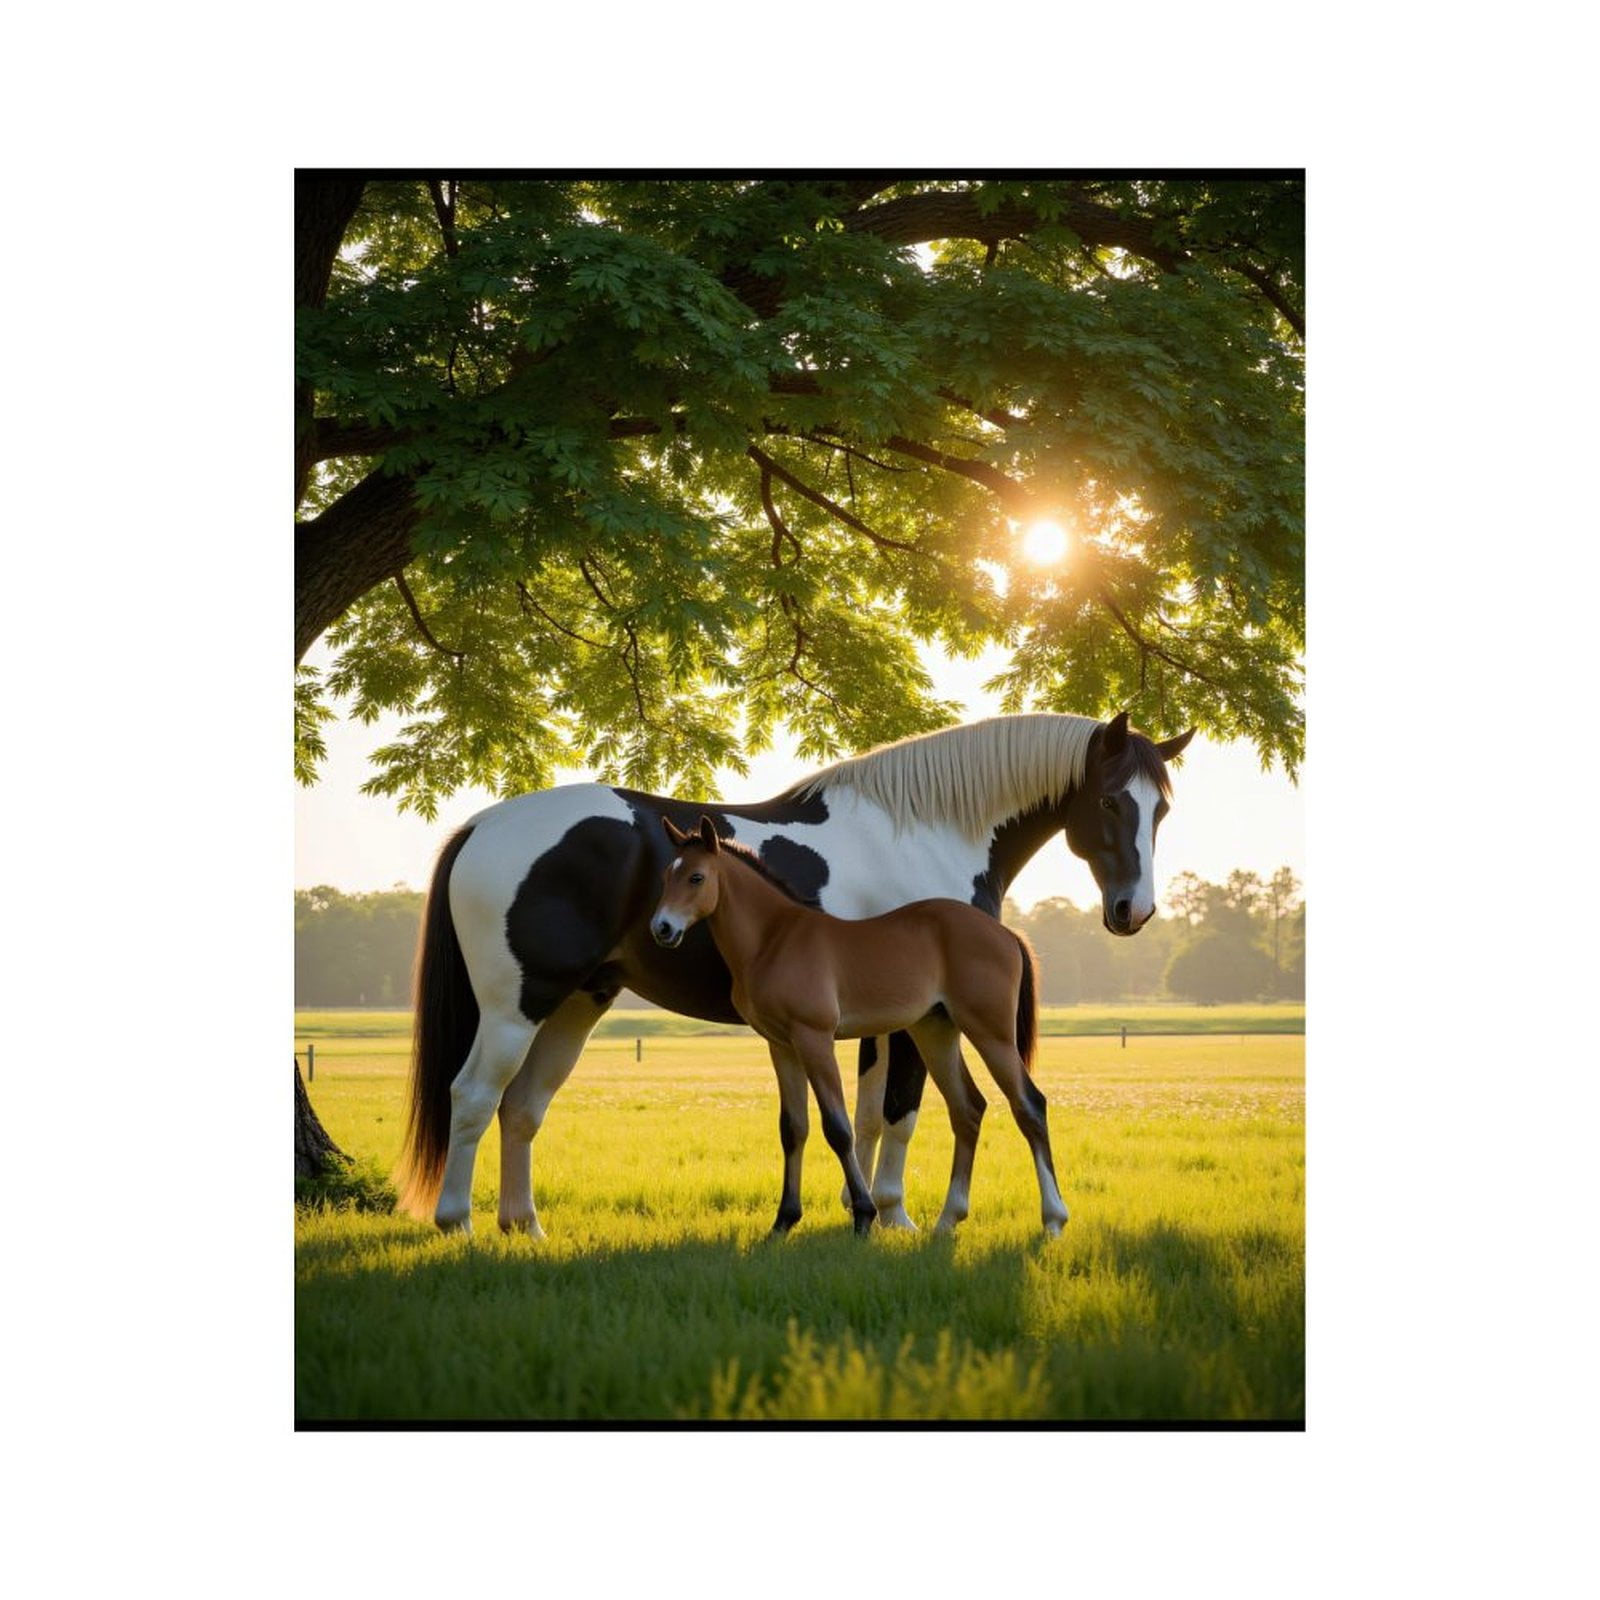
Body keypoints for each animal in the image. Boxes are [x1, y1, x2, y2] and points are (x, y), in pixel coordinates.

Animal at [652, 815, 1067, 1237]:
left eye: (697, 877)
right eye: (667, 875)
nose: (662, 928)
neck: (775, 939)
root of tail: (1007, 934)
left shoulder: (815, 1039)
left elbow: (838, 1127)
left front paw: (863, 1214)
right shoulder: (781, 1045)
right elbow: (793, 1129)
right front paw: (784, 1221)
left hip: (990, 1032)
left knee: (1029, 1104)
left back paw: (1053, 1219)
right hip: (936, 1033)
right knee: (967, 1109)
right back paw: (947, 1220)